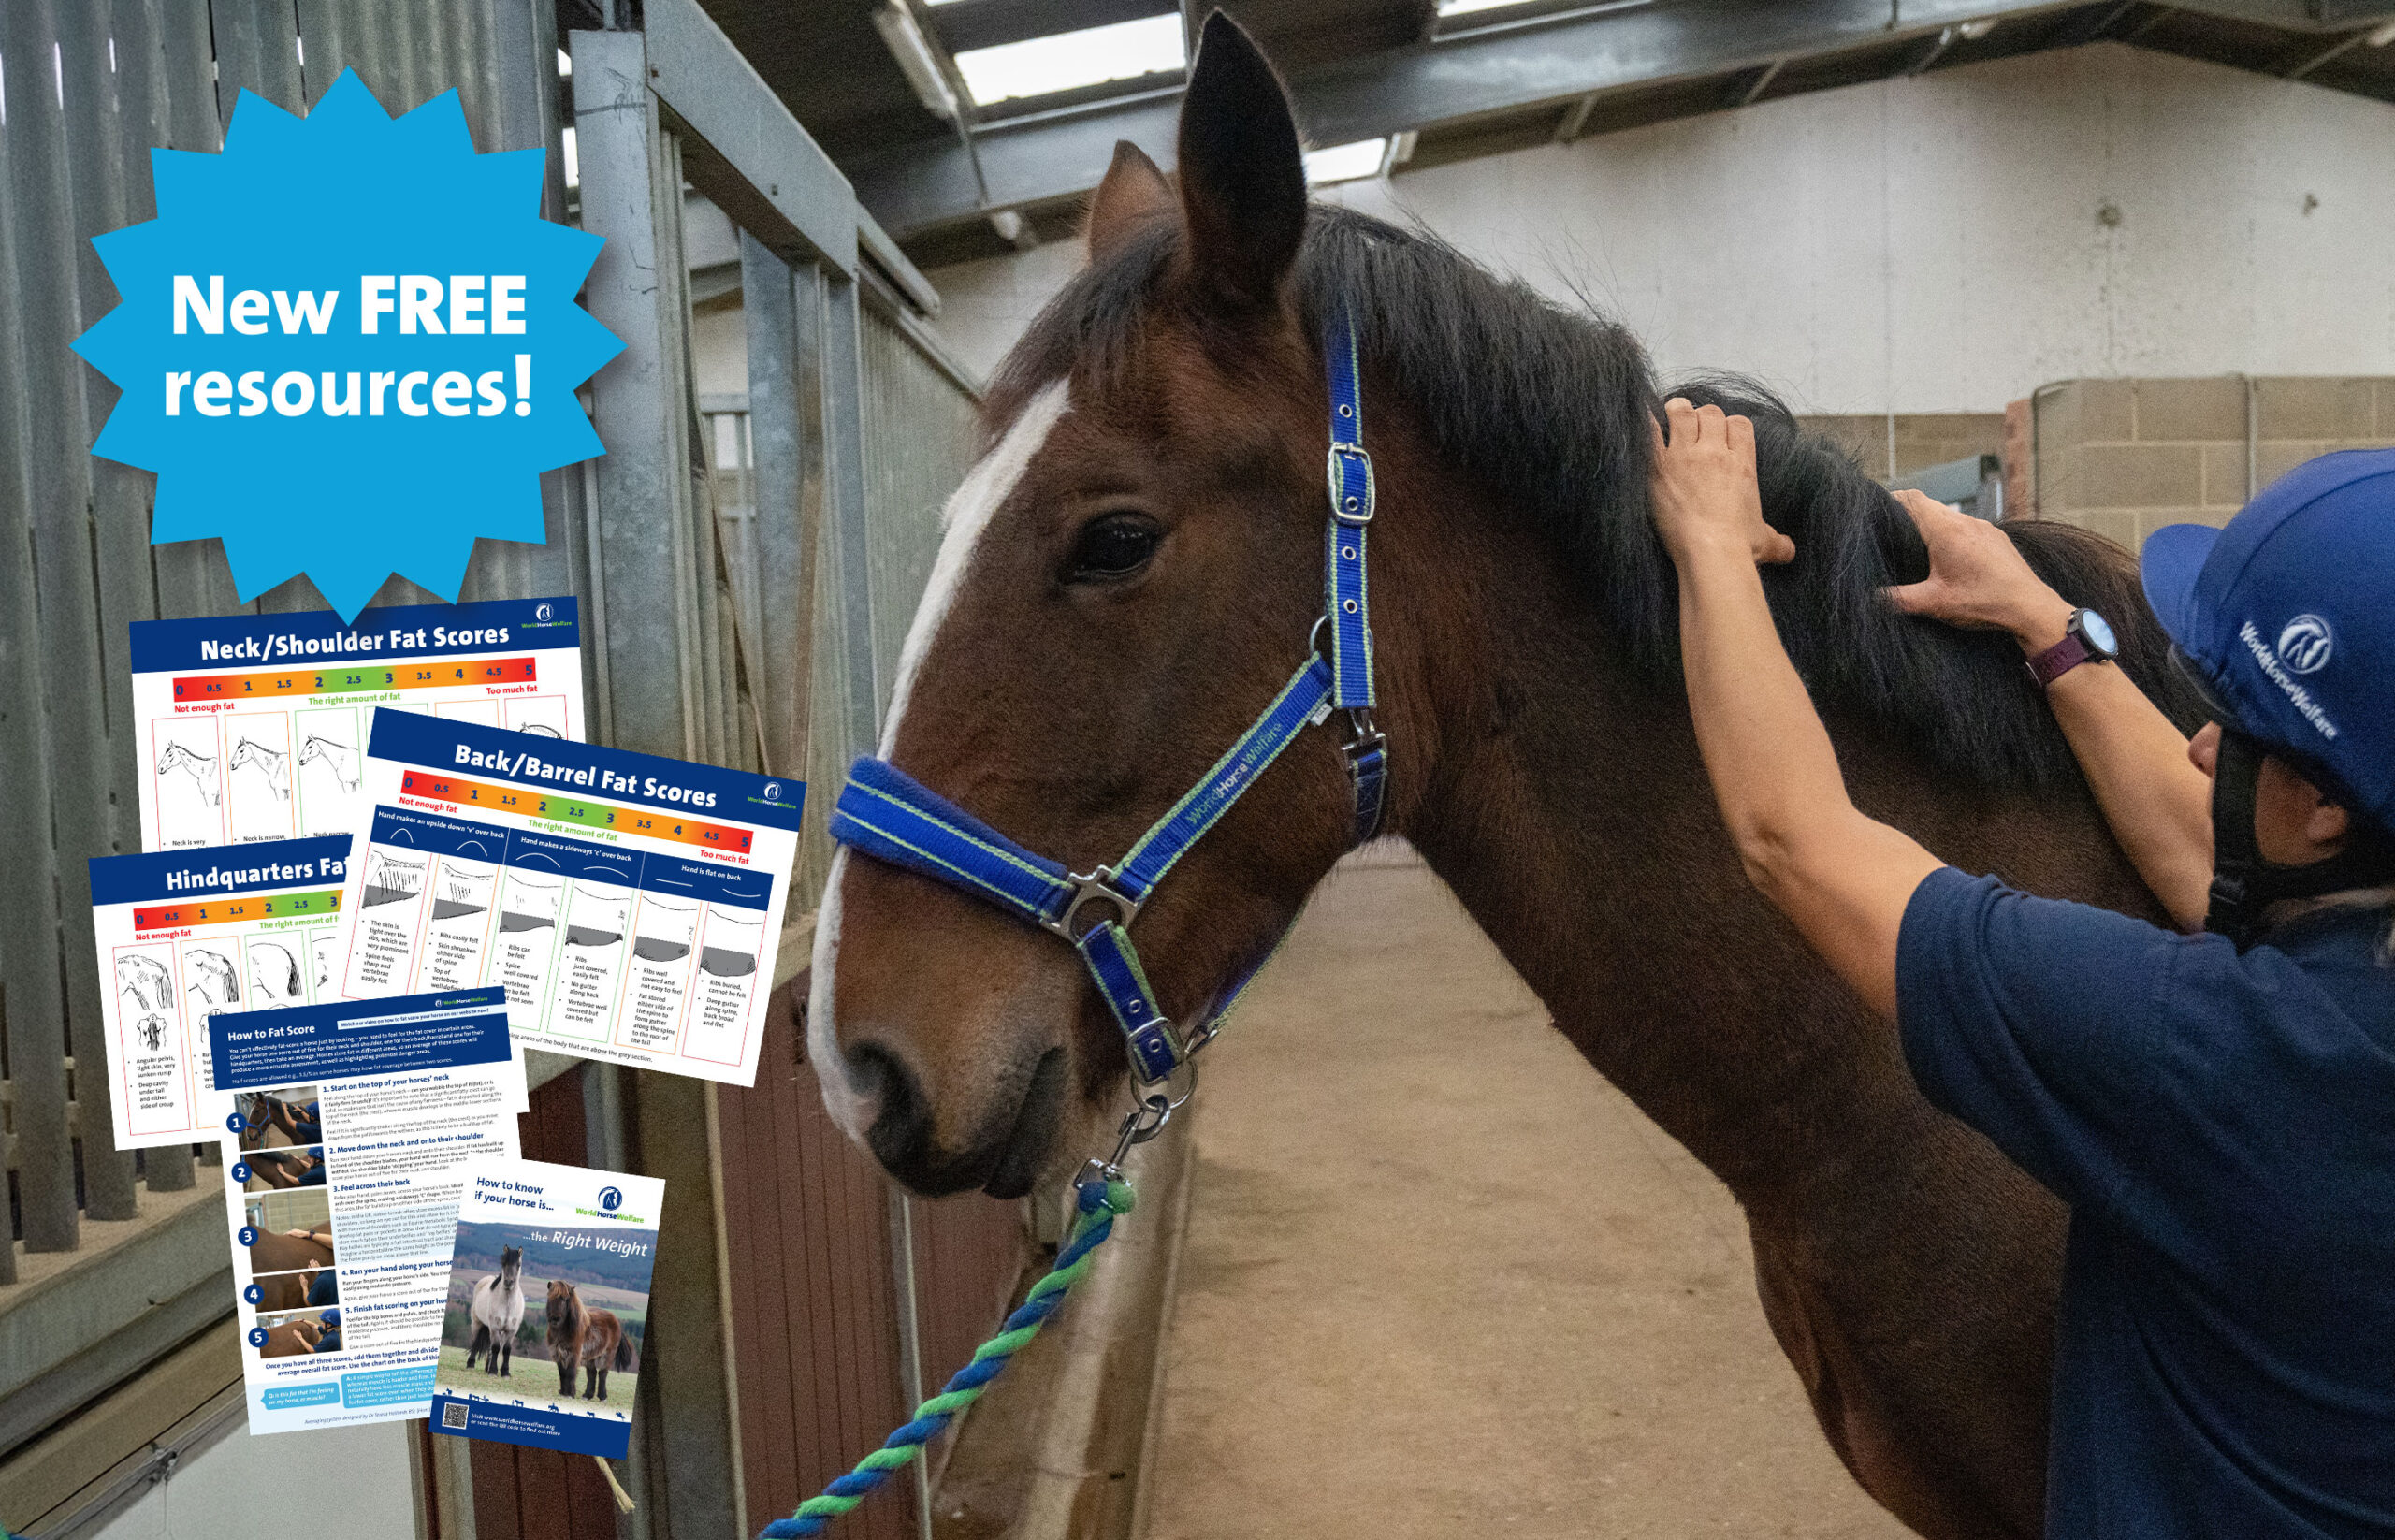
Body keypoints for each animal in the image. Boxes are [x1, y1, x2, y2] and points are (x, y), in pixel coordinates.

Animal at [466, 1246, 527, 1376]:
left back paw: (486, 1368)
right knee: (474, 1342)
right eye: (503, 1263)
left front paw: (505, 1372)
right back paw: (471, 1364)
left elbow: (506, 1350)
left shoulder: (511, 1330)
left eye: (518, 1264)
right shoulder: (494, 1327)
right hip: (477, 1323)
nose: (508, 1282)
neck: (508, 1304)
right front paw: (493, 1371)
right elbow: (495, 1348)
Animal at [544, 1280, 634, 1401]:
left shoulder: (574, 1354)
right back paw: (587, 1395)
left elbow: (570, 1372)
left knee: (603, 1373)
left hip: (607, 1354)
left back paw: (602, 1396)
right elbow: (562, 1373)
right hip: (591, 1356)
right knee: (592, 1373)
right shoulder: (559, 1353)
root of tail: (615, 1320)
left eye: (565, 1299)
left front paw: (570, 1394)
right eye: (550, 1297)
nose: (555, 1318)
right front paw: (563, 1392)